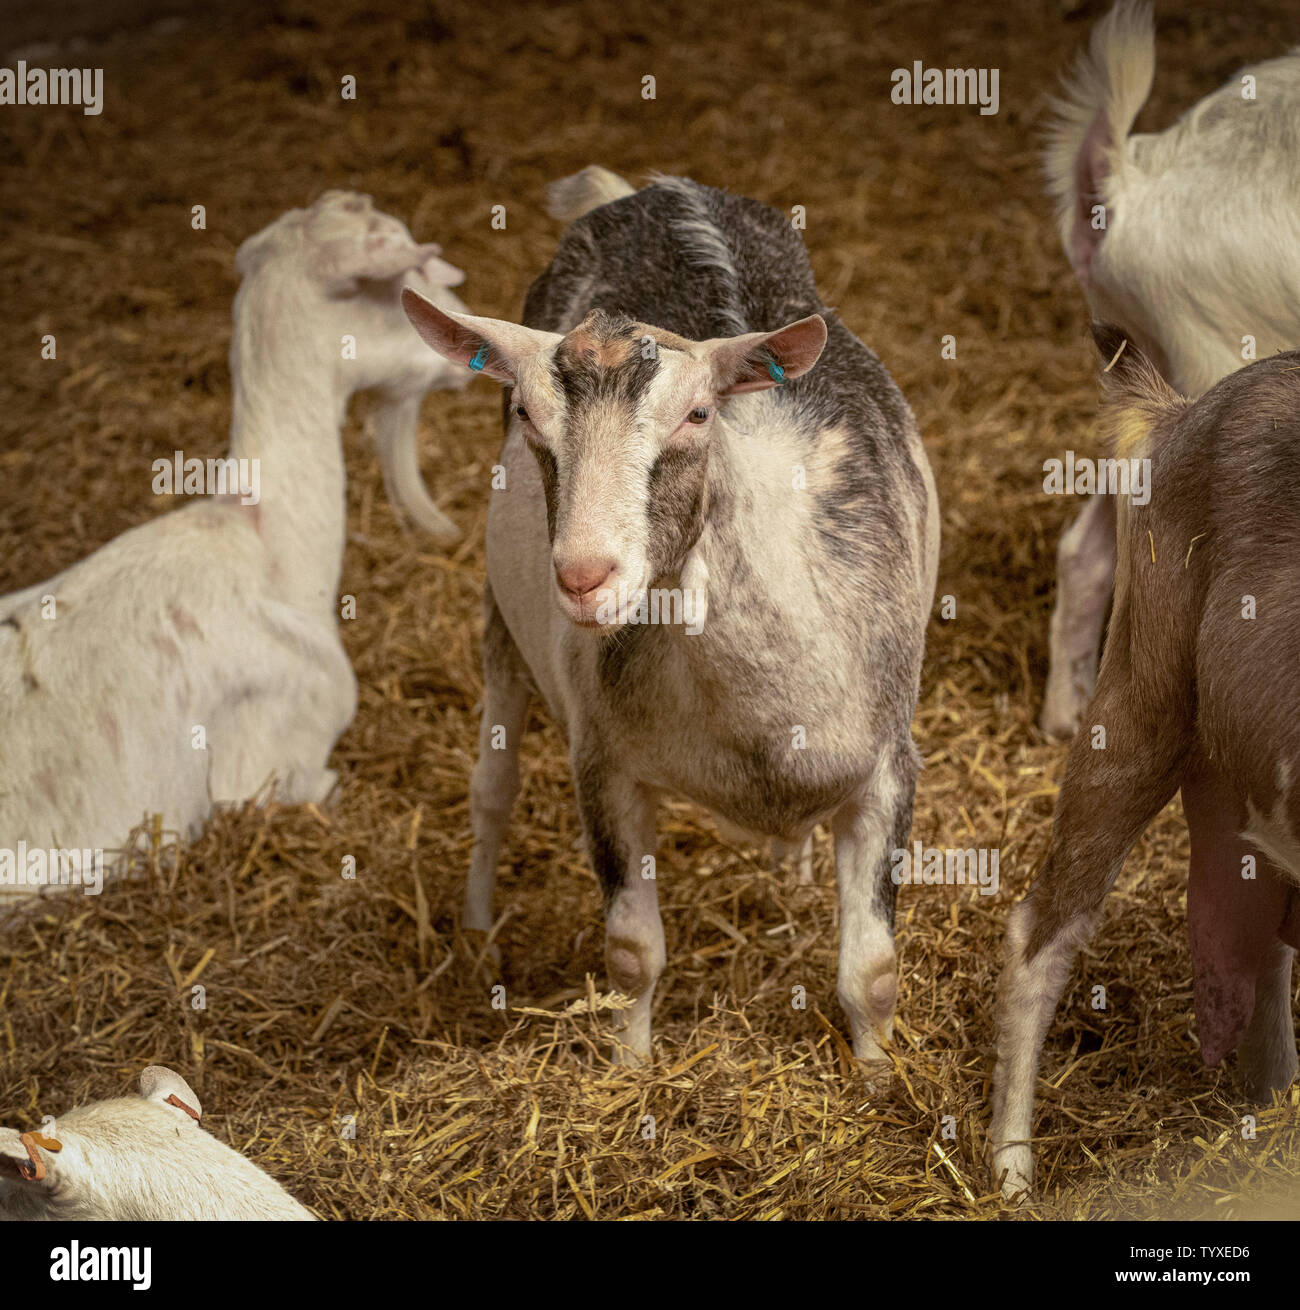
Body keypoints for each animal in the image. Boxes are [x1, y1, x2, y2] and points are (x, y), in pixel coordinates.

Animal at [404, 167, 938, 1062]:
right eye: (527, 417)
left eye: (697, 415)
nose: (584, 576)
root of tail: (655, 190)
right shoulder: (605, 765)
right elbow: (632, 952)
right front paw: (631, 1066)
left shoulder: (888, 764)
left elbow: (874, 972)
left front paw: (877, 1075)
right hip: (500, 617)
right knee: (492, 784)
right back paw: (477, 929)